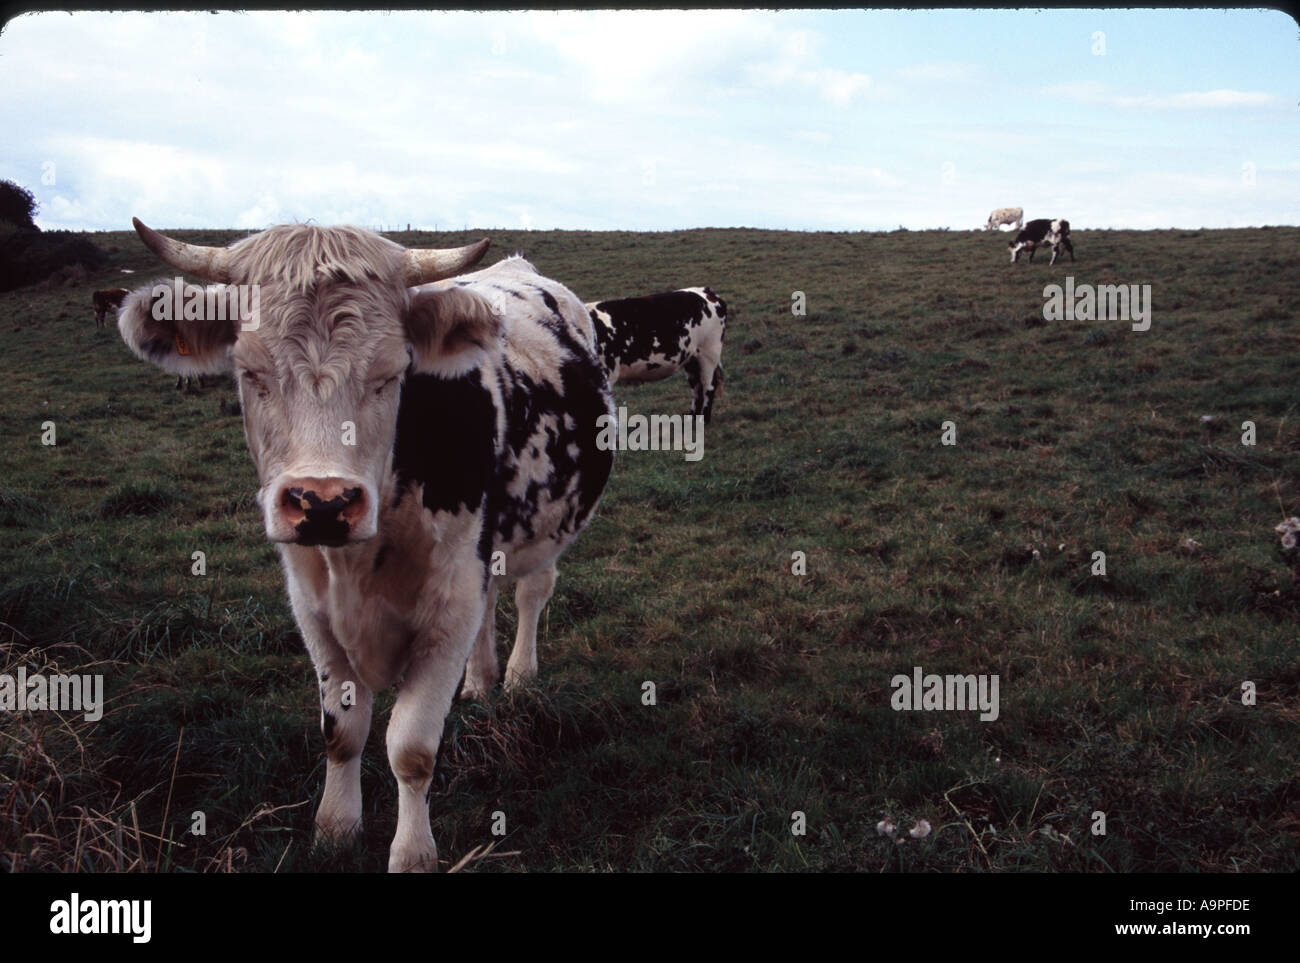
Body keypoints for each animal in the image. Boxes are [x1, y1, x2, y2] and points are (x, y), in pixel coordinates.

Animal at [116, 219, 615, 872]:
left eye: (388, 375)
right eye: (250, 373)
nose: (323, 503)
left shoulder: (450, 602)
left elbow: (411, 748)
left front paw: (412, 854)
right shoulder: (312, 605)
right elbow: (342, 732)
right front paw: (335, 827)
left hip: (548, 531)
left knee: (532, 594)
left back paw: (519, 675)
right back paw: (479, 681)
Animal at [585, 287, 727, 423]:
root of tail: (707, 291)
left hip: (709, 352)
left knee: (709, 385)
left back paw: (704, 420)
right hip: (691, 358)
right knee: (697, 386)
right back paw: (691, 418)